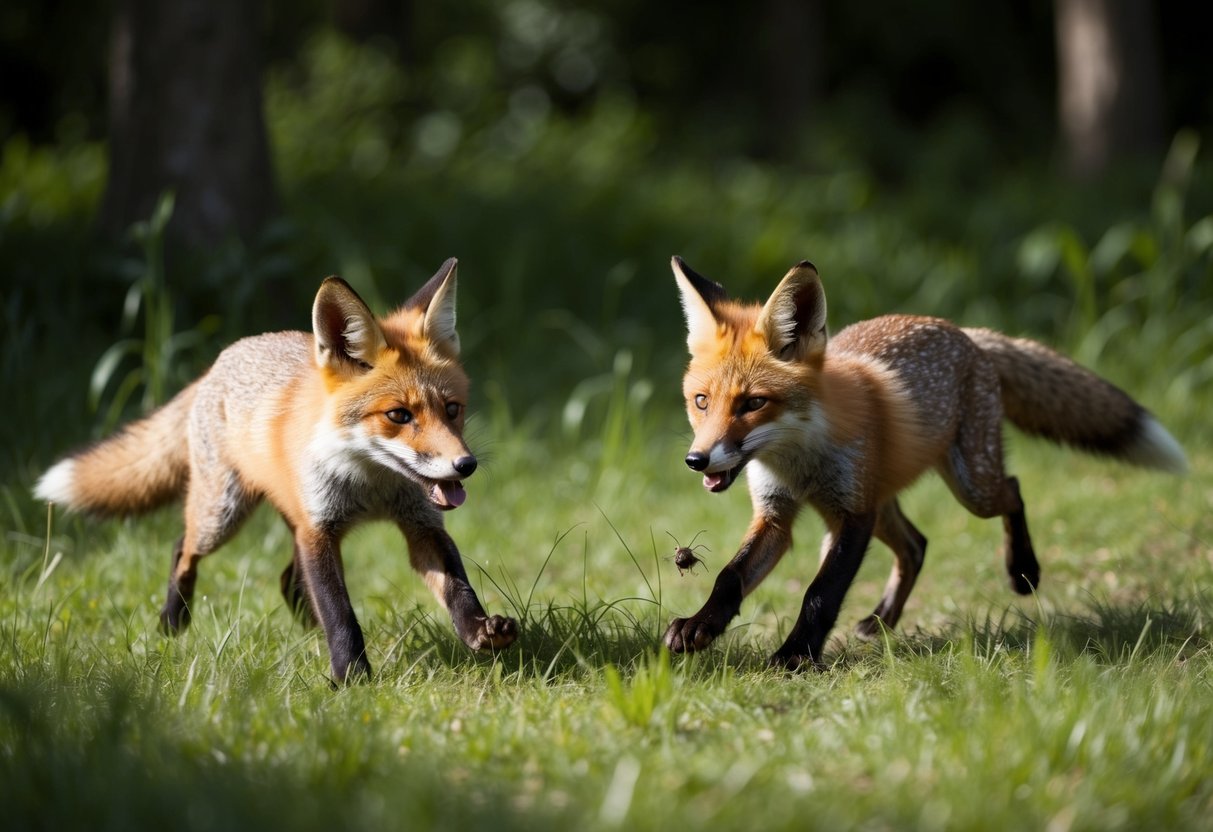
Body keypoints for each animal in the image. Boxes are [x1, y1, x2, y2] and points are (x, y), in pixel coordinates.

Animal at [35, 258, 517, 682]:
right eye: (399, 415)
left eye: (452, 409)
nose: (465, 465)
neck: (371, 487)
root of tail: (219, 361)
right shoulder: (318, 530)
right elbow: (341, 614)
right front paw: (351, 678)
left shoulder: (420, 524)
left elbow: (458, 588)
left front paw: (479, 632)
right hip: (223, 516)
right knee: (182, 547)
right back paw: (173, 622)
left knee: (288, 580)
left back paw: (305, 632)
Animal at [665, 256, 1187, 669]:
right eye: (701, 401)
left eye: (753, 403)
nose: (695, 460)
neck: (798, 460)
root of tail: (966, 333)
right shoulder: (778, 515)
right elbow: (730, 577)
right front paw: (700, 626)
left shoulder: (854, 514)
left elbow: (820, 593)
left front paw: (795, 656)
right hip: (879, 503)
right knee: (917, 545)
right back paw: (882, 620)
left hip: (969, 485)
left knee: (1013, 489)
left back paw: (1022, 570)